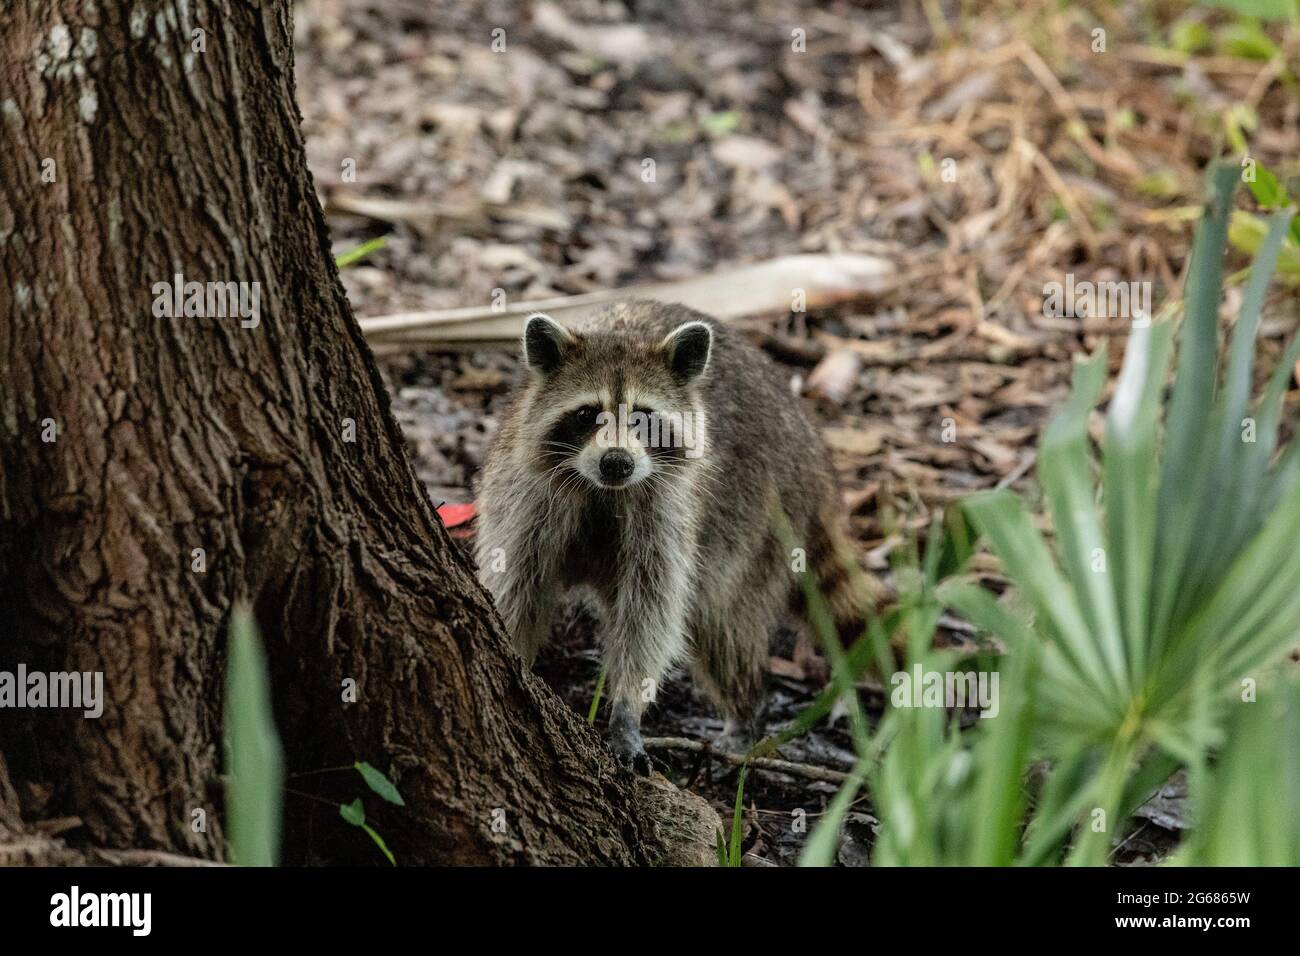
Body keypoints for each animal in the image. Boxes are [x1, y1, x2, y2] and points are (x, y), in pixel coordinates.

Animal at [475, 300, 870, 773]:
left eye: (643, 417)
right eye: (587, 414)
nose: (617, 462)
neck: (603, 491)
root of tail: (811, 445)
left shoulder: (670, 509)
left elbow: (653, 608)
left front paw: (627, 706)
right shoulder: (525, 497)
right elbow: (518, 587)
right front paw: (510, 648)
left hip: (763, 515)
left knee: (724, 621)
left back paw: (745, 711)